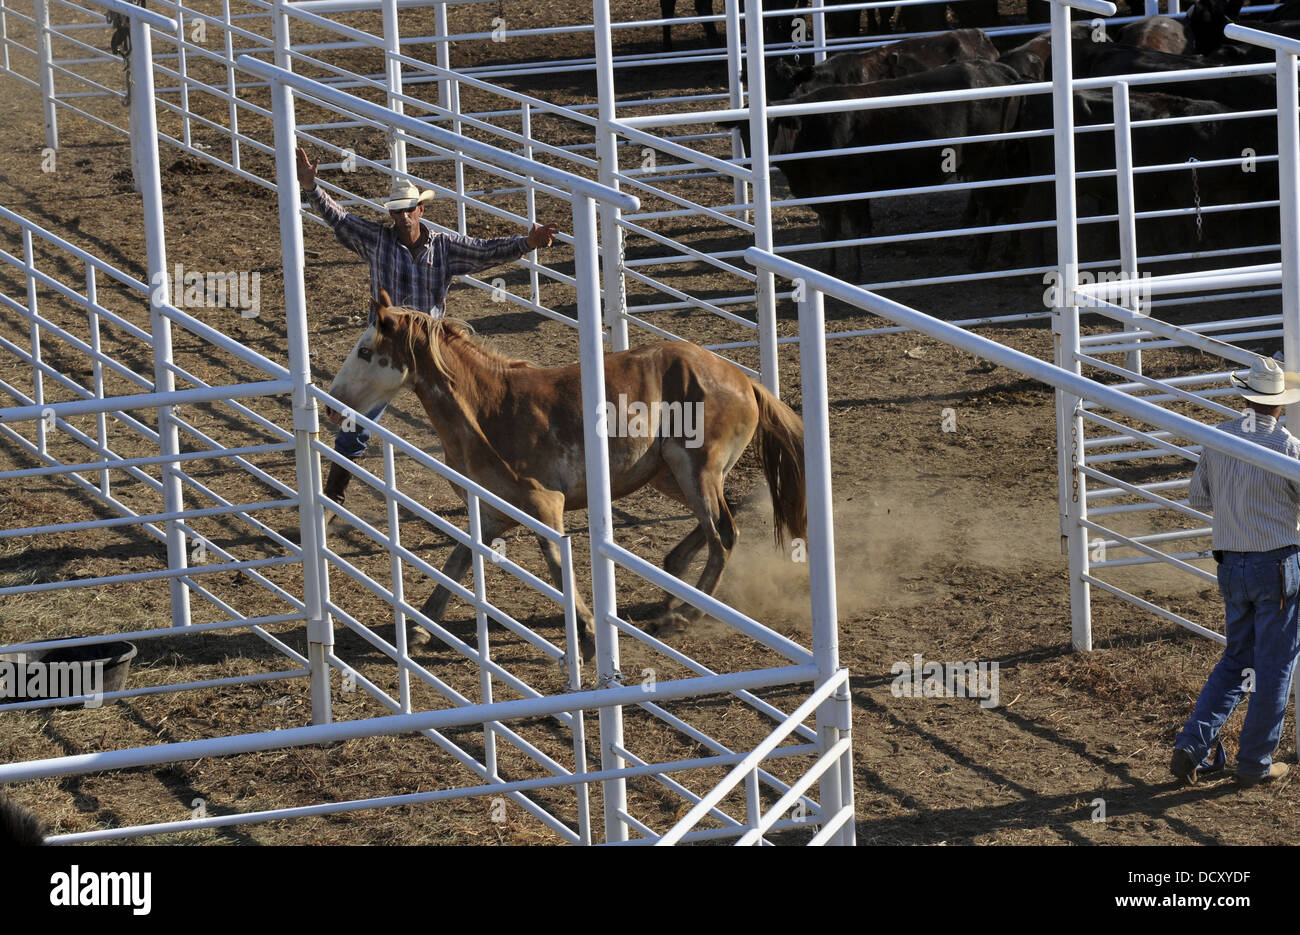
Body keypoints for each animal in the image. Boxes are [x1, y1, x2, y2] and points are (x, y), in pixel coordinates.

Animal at [324, 290, 808, 662]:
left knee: (723, 533)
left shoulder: (545, 505)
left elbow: (558, 568)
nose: (331, 406)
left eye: (366, 351)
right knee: (718, 524)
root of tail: (743, 381)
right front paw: (421, 627)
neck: (487, 410)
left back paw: (683, 614)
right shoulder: (493, 510)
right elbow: (458, 559)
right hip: (668, 473)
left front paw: (590, 636)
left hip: (696, 468)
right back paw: (674, 576)